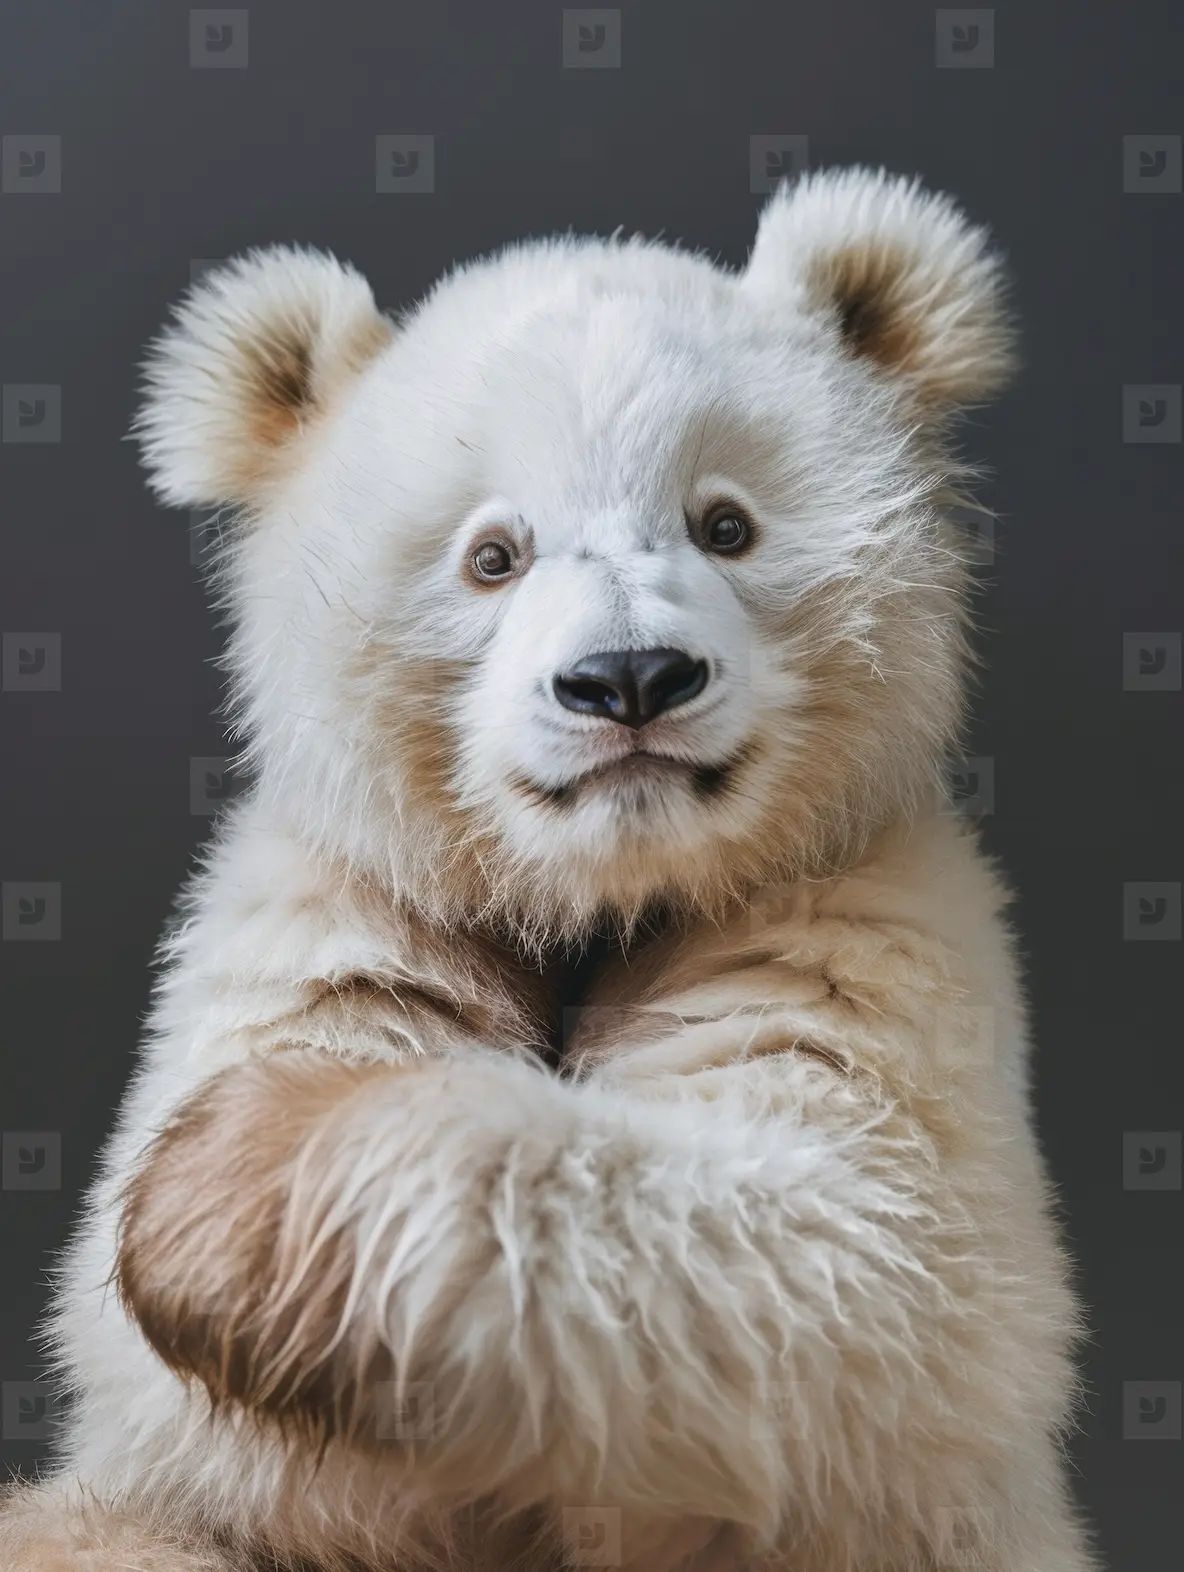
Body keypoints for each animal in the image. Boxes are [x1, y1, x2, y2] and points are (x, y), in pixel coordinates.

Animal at [0, 167, 1099, 1572]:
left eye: (724, 524)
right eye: (492, 554)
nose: (628, 678)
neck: (596, 893)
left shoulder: (861, 915)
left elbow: (831, 1243)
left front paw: (227, 1168)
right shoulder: (342, 911)